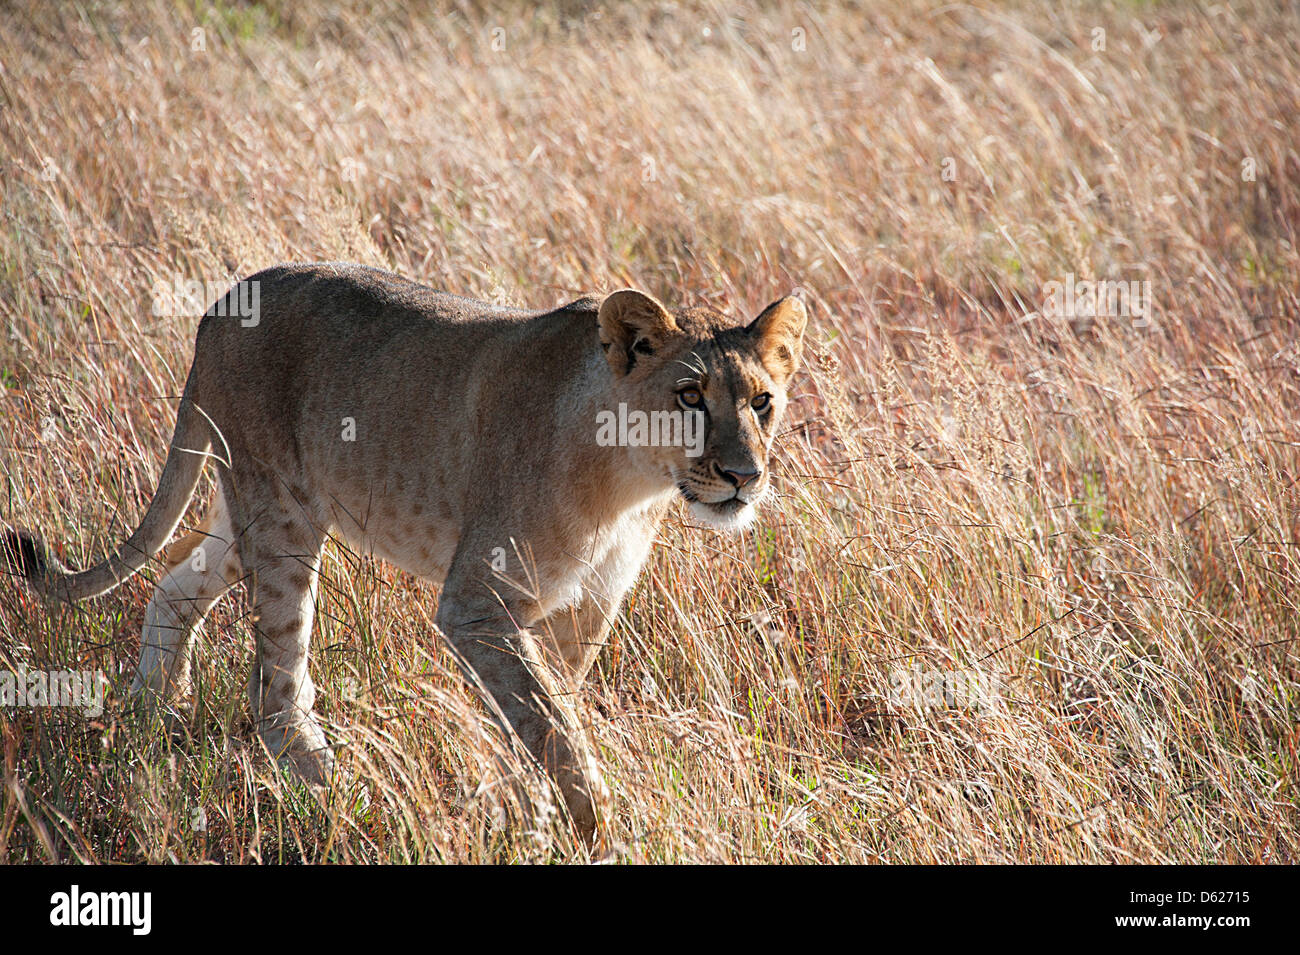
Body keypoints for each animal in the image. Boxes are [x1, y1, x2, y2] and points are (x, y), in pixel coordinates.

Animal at [2, 262, 807, 843]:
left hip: (247, 512)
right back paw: (341, 794)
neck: (630, 486)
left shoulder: (581, 614)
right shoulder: (478, 602)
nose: (745, 475)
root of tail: (223, 301)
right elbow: (554, 727)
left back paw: (141, 725)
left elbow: (537, 720)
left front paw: (525, 815)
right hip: (285, 518)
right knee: (274, 686)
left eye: (762, 402)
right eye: (690, 397)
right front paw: (601, 828)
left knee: (172, 590)